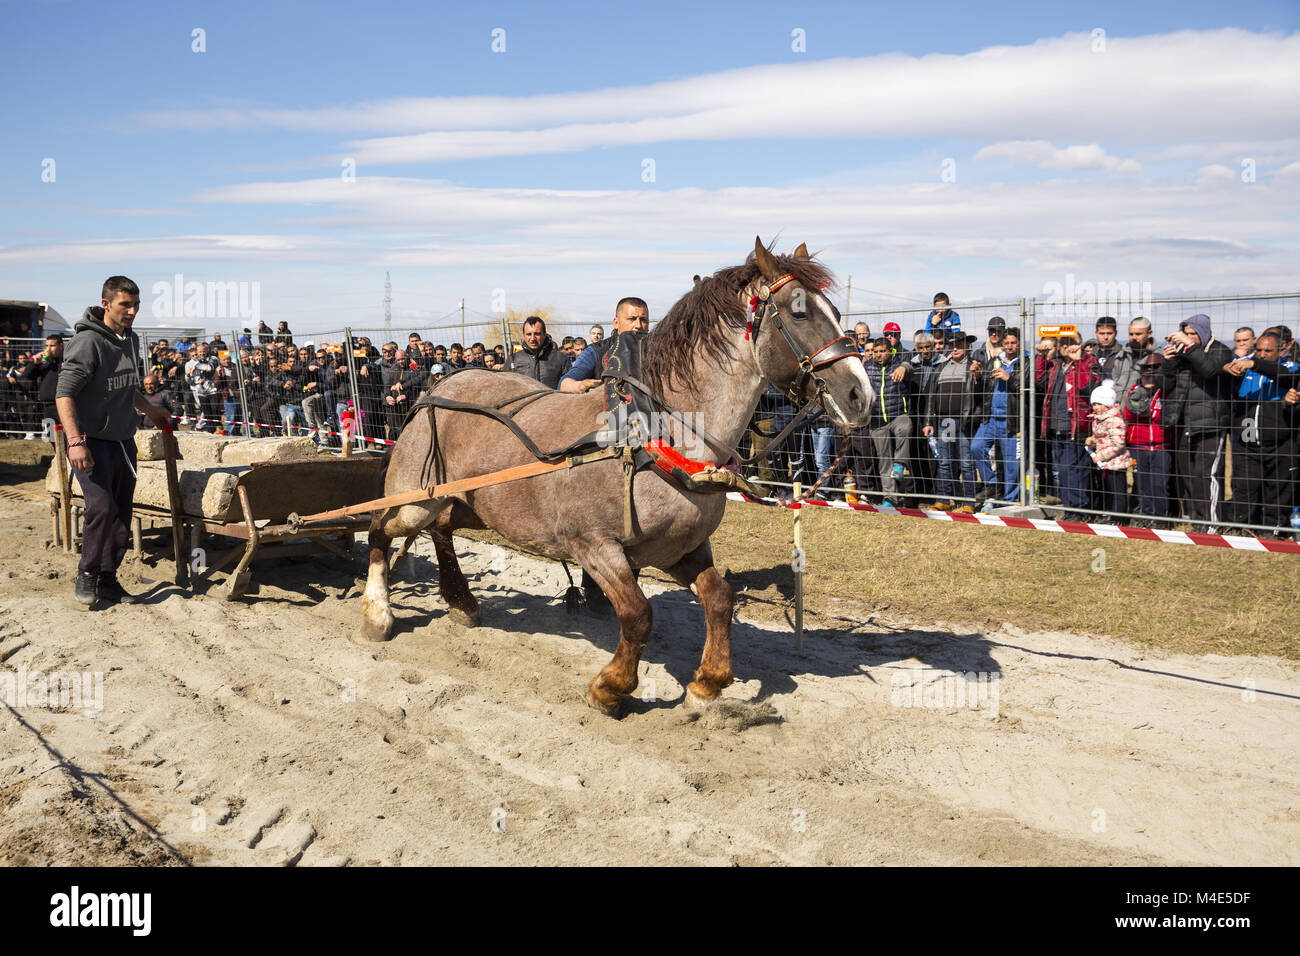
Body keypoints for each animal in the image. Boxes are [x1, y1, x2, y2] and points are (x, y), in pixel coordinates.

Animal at [360, 238, 875, 717]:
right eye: (800, 312)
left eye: (837, 311)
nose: (861, 395)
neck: (653, 434)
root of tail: (440, 385)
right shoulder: (595, 546)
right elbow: (638, 614)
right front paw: (611, 687)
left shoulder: (681, 547)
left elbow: (720, 598)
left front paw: (707, 682)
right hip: (415, 498)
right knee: (381, 529)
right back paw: (378, 614)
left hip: (471, 504)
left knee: (443, 530)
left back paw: (461, 602)